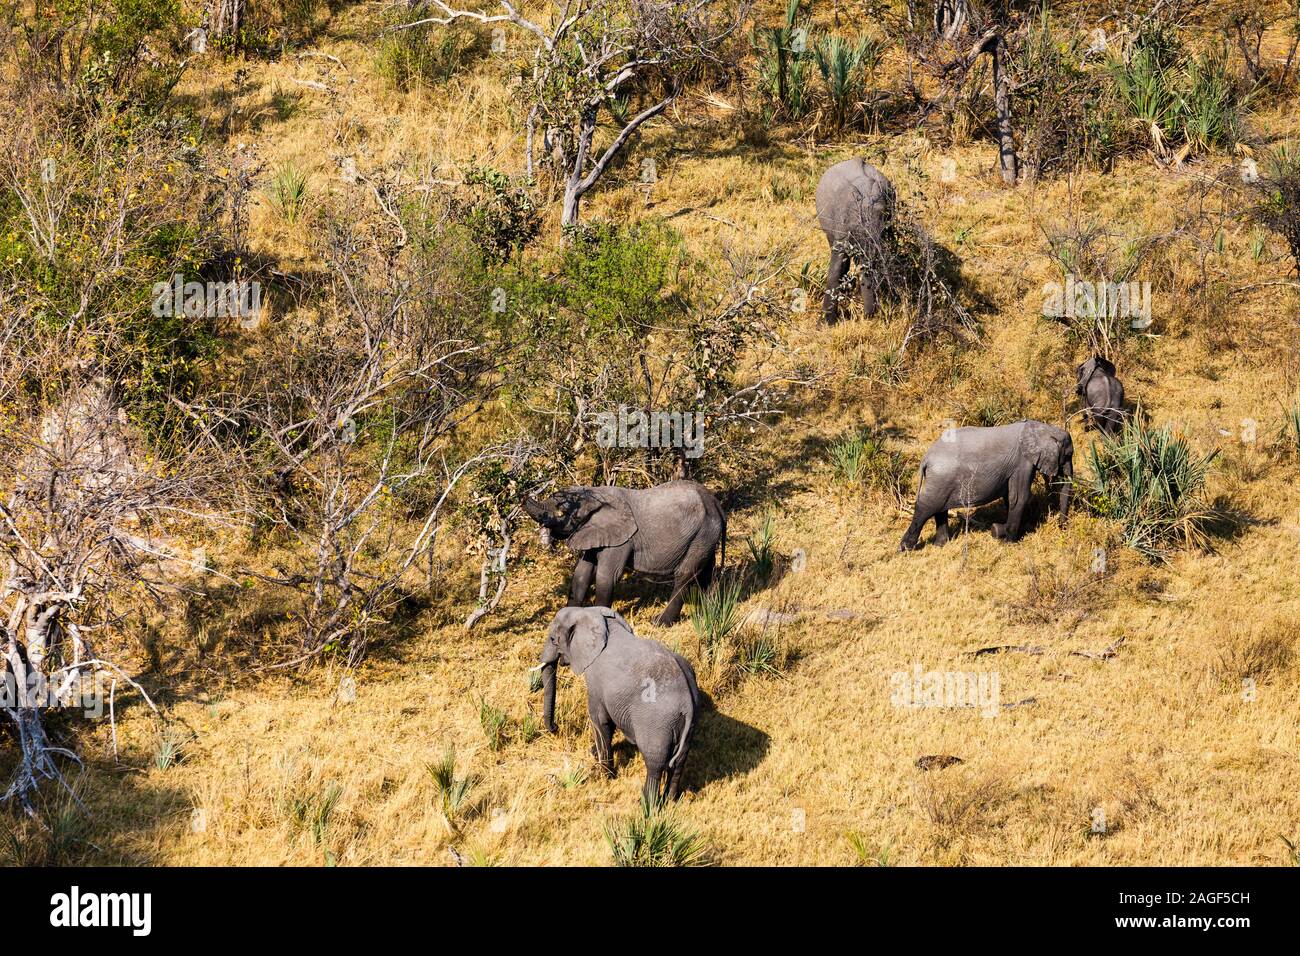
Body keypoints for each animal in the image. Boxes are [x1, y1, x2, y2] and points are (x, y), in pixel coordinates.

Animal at [523, 480, 726, 627]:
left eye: (562, 512)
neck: (594, 494)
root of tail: (715, 502)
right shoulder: (595, 532)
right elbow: (582, 573)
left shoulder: (623, 539)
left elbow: (606, 576)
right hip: (705, 536)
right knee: (706, 571)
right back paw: (710, 613)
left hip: (703, 532)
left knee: (685, 574)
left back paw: (659, 622)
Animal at [537, 606, 699, 804]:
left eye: (553, 639)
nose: (555, 727)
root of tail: (687, 702)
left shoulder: (595, 679)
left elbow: (600, 720)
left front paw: (606, 776)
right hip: (689, 722)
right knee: (679, 761)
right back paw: (671, 801)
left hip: (657, 722)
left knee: (655, 763)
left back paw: (646, 804)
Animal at [815, 158, 896, 322]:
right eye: (855, 229)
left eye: (883, 230)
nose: (867, 317)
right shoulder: (841, 222)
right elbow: (837, 263)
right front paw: (825, 324)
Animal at [899, 420, 1074, 551]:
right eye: (1069, 455)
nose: (1061, 526)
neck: (1043, 428)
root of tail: (926, 459)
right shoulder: (1022, 462)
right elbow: (1019, 498)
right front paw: (1010, 543)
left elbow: (1010, 498)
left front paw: (999, 531)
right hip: (940, 478)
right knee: (925, 508)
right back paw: (905, 549)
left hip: (941, 482)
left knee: (940, 509)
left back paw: (940, 545)